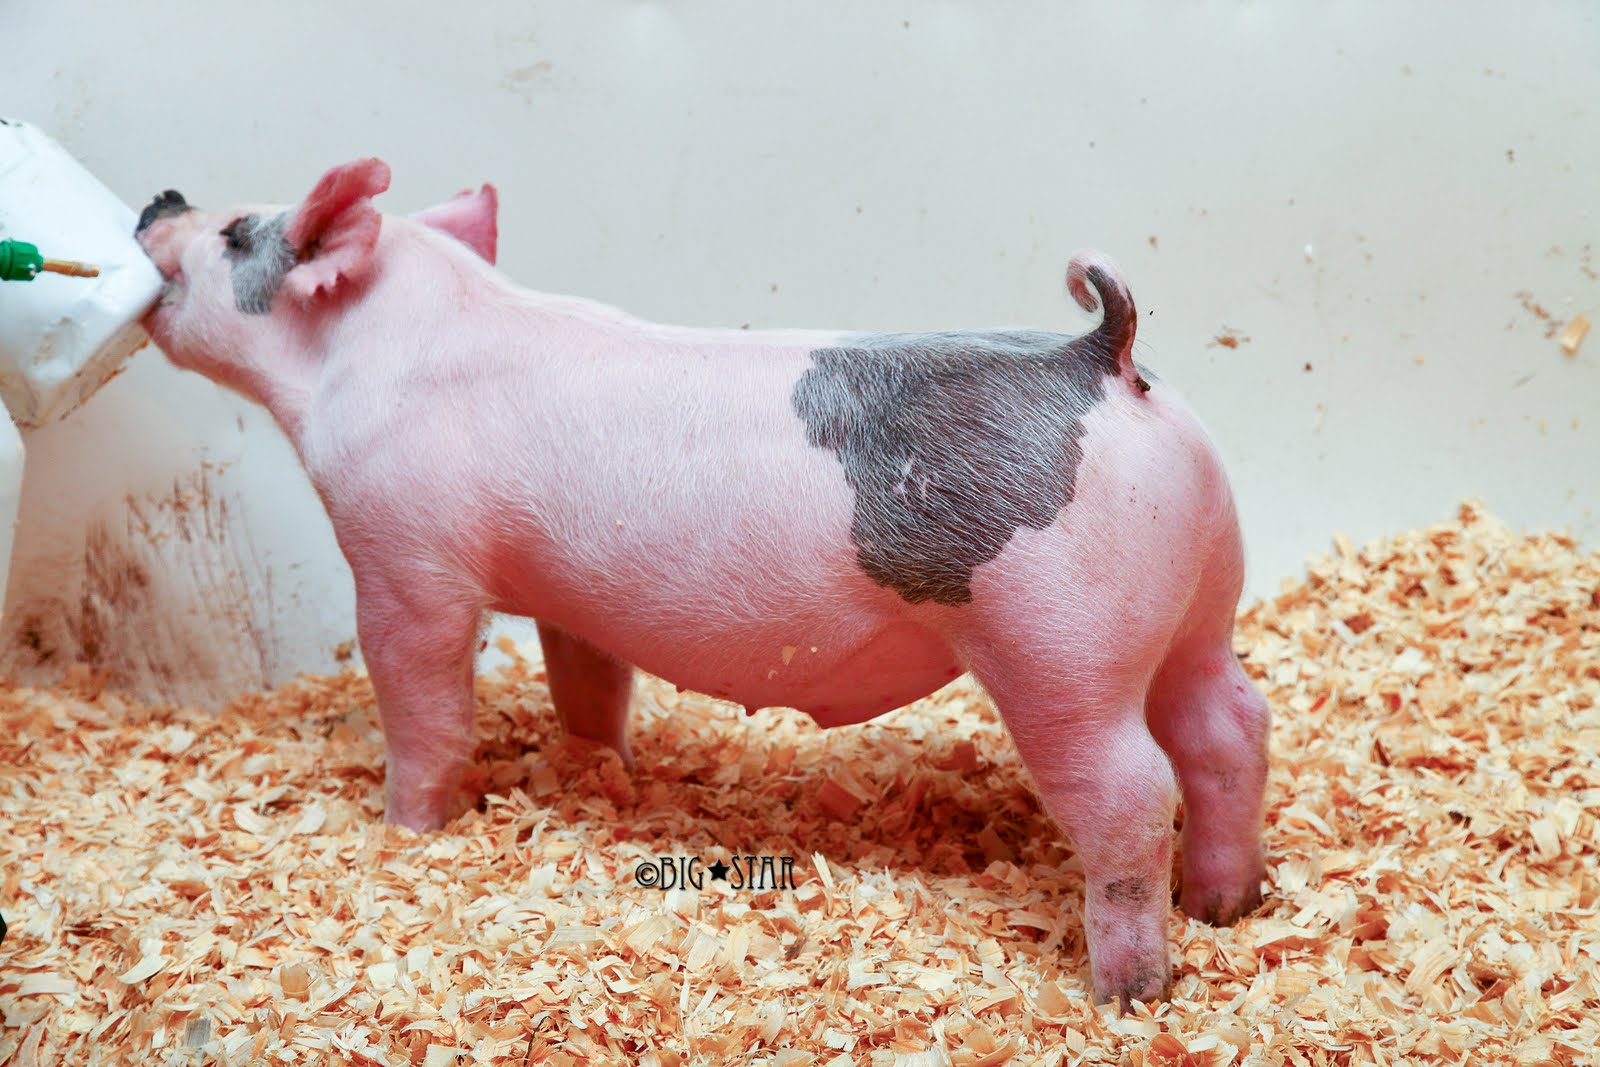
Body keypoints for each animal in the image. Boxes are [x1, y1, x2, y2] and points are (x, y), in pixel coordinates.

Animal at [134, 158, 1270, 1006]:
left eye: (237, 234)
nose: (159, 196)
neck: (366, 350)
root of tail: (1099, 356)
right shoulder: (568, 598)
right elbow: (589, 685)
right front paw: (602, 769)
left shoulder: (402, 557)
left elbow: (423, 697)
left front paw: (406, 825)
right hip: (1198, 595)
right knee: (1229, 721)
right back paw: (1227, 901)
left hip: (1059, 644)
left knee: (1131, 786)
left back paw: (1127, 990)